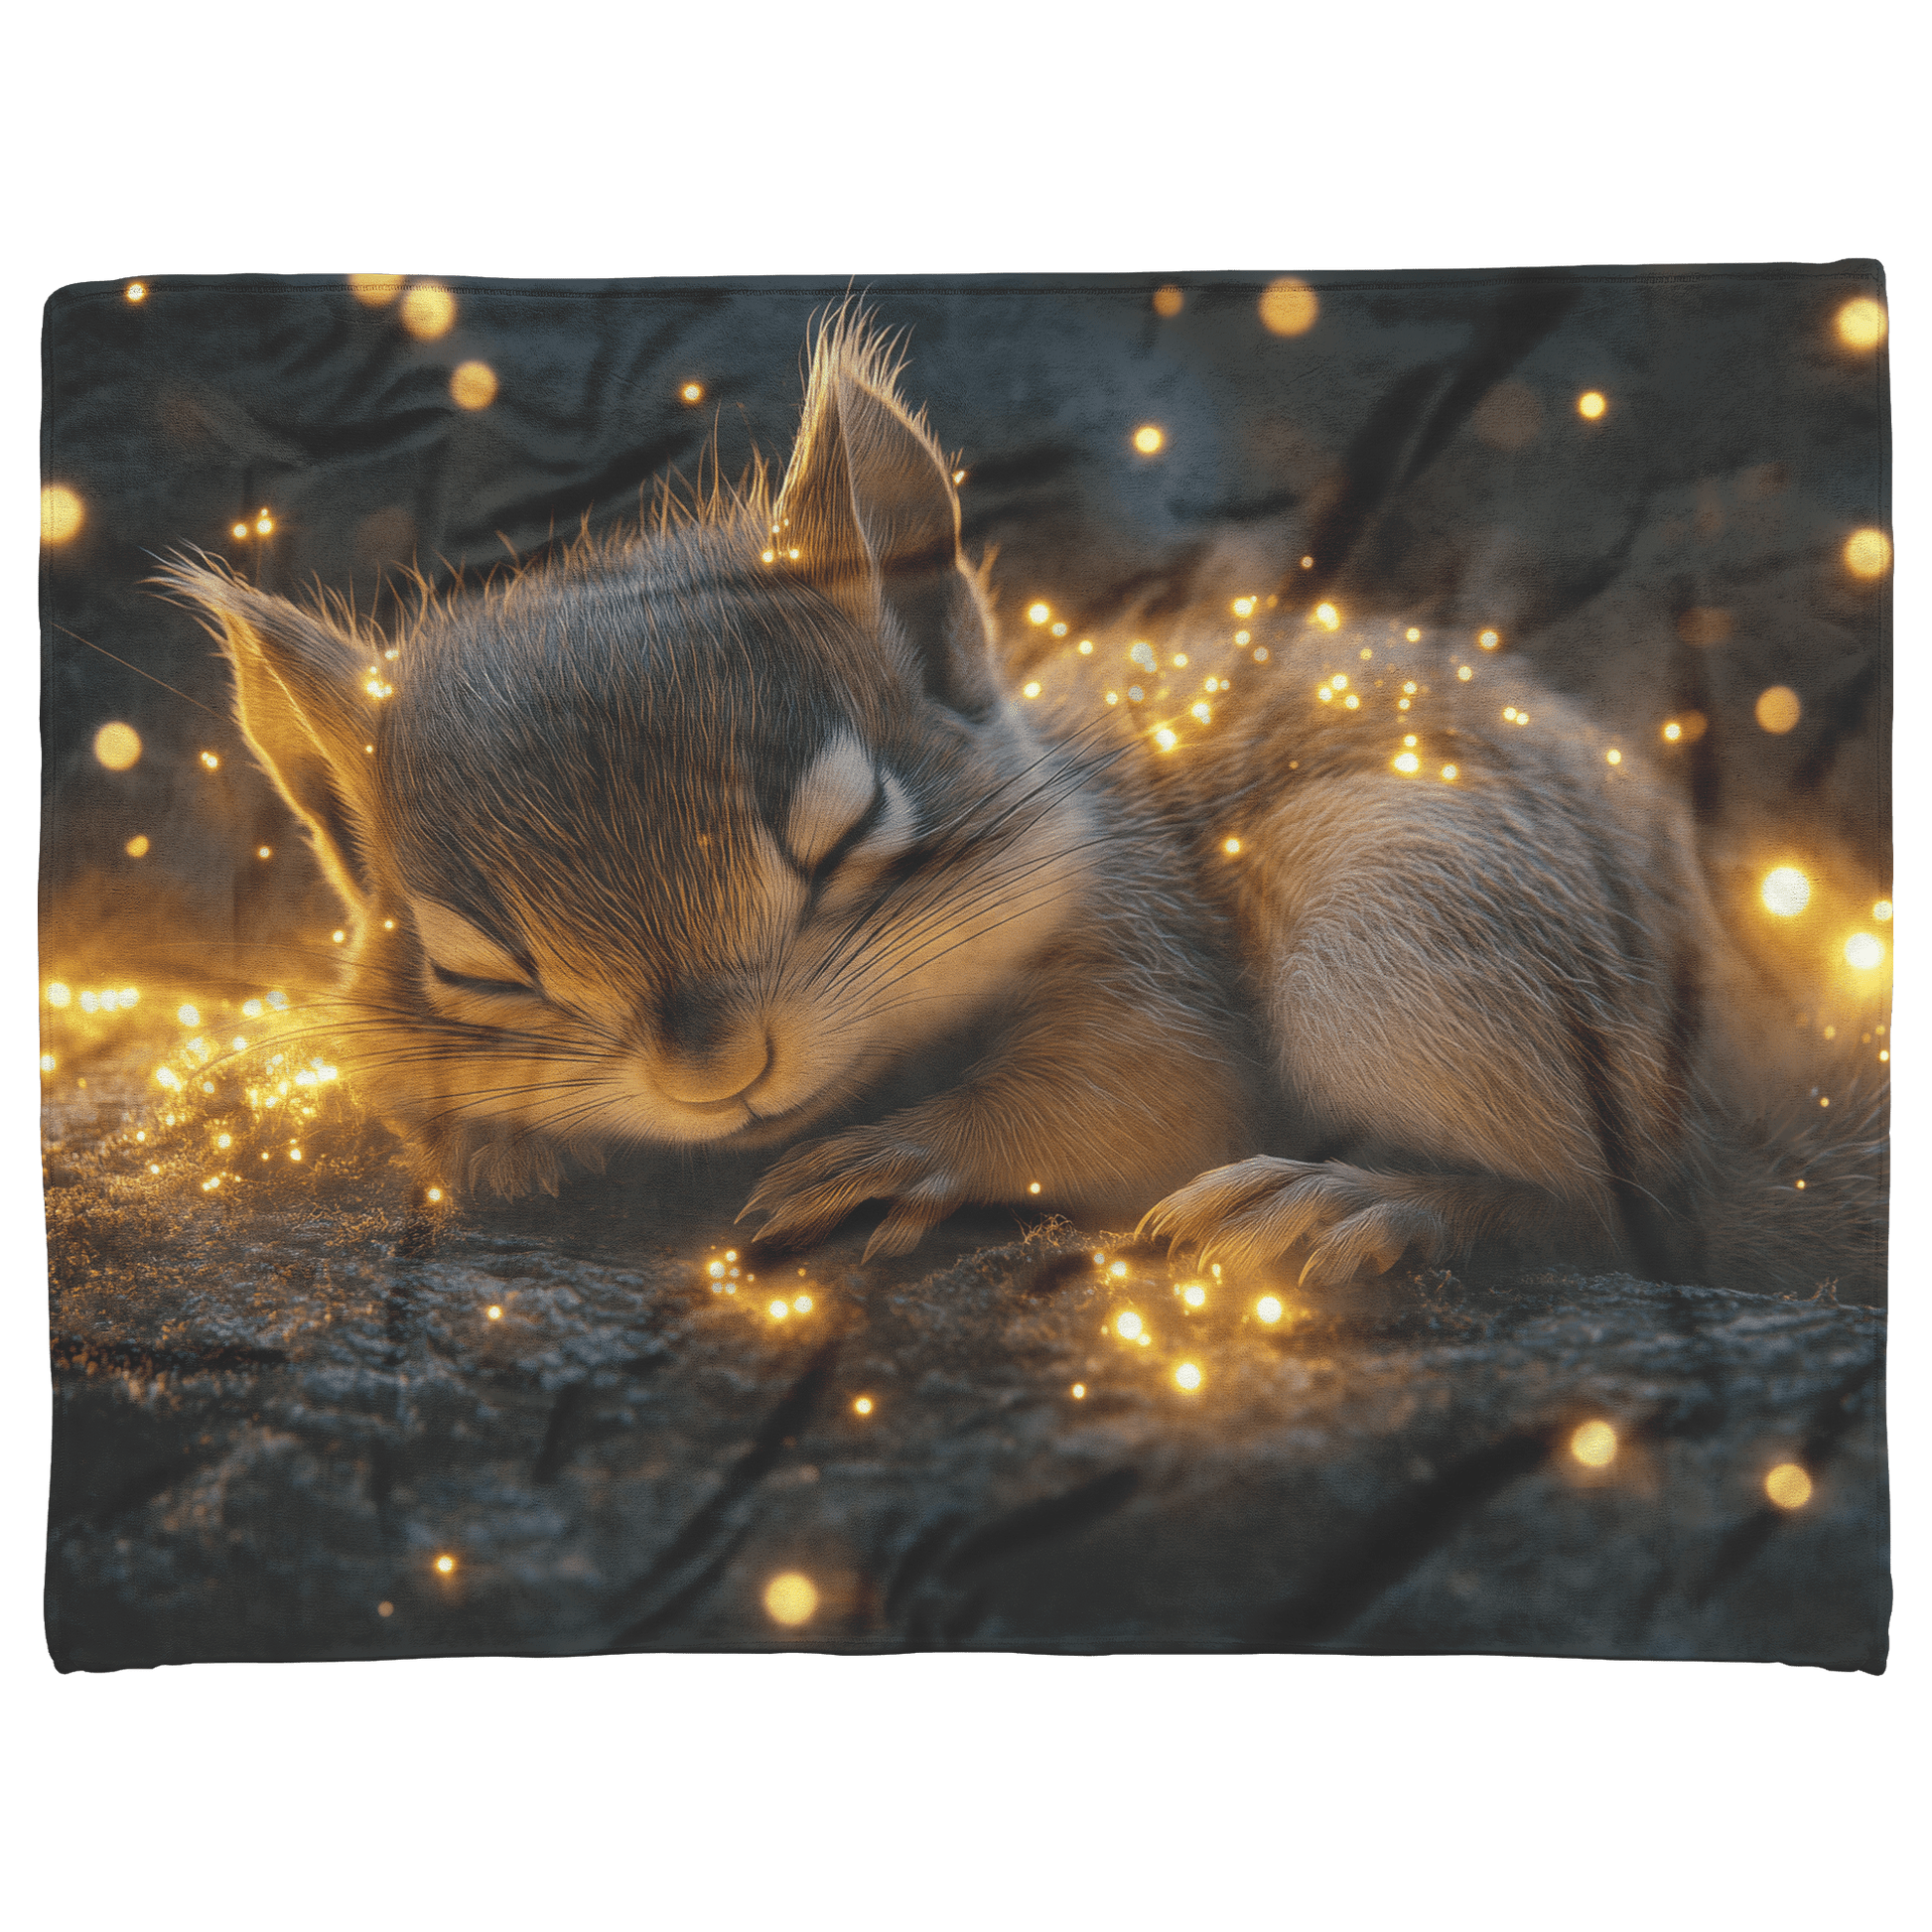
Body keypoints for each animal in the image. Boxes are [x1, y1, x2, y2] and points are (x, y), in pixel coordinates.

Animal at [161, 311, 1888, 1299]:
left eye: (846, 839)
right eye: (474, 965)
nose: (717, 1070)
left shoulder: (1140, 927)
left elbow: (1139, 1091)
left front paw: (913, 1145)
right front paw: (494, 1145)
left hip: (1406, 913)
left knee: (1638, 1208)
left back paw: (1362, 1197)